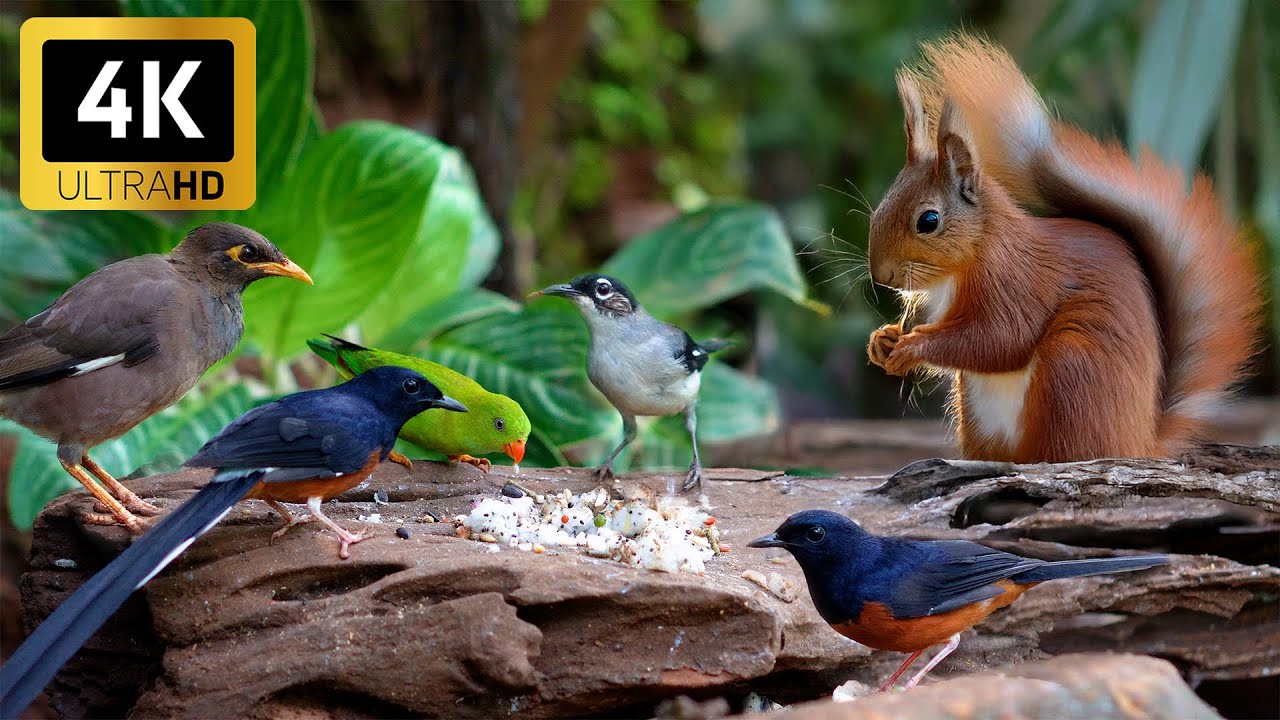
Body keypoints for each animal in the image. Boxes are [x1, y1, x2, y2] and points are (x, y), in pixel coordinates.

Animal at [866, 35, 1262, 463]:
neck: (967, 263)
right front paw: (882, 340)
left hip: (1070, 370)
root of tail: (1139, 443)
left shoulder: (1015, 284)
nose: (881, 275)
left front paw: (913, 346)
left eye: (928, 221)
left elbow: (1000, 340)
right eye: (880, 205)